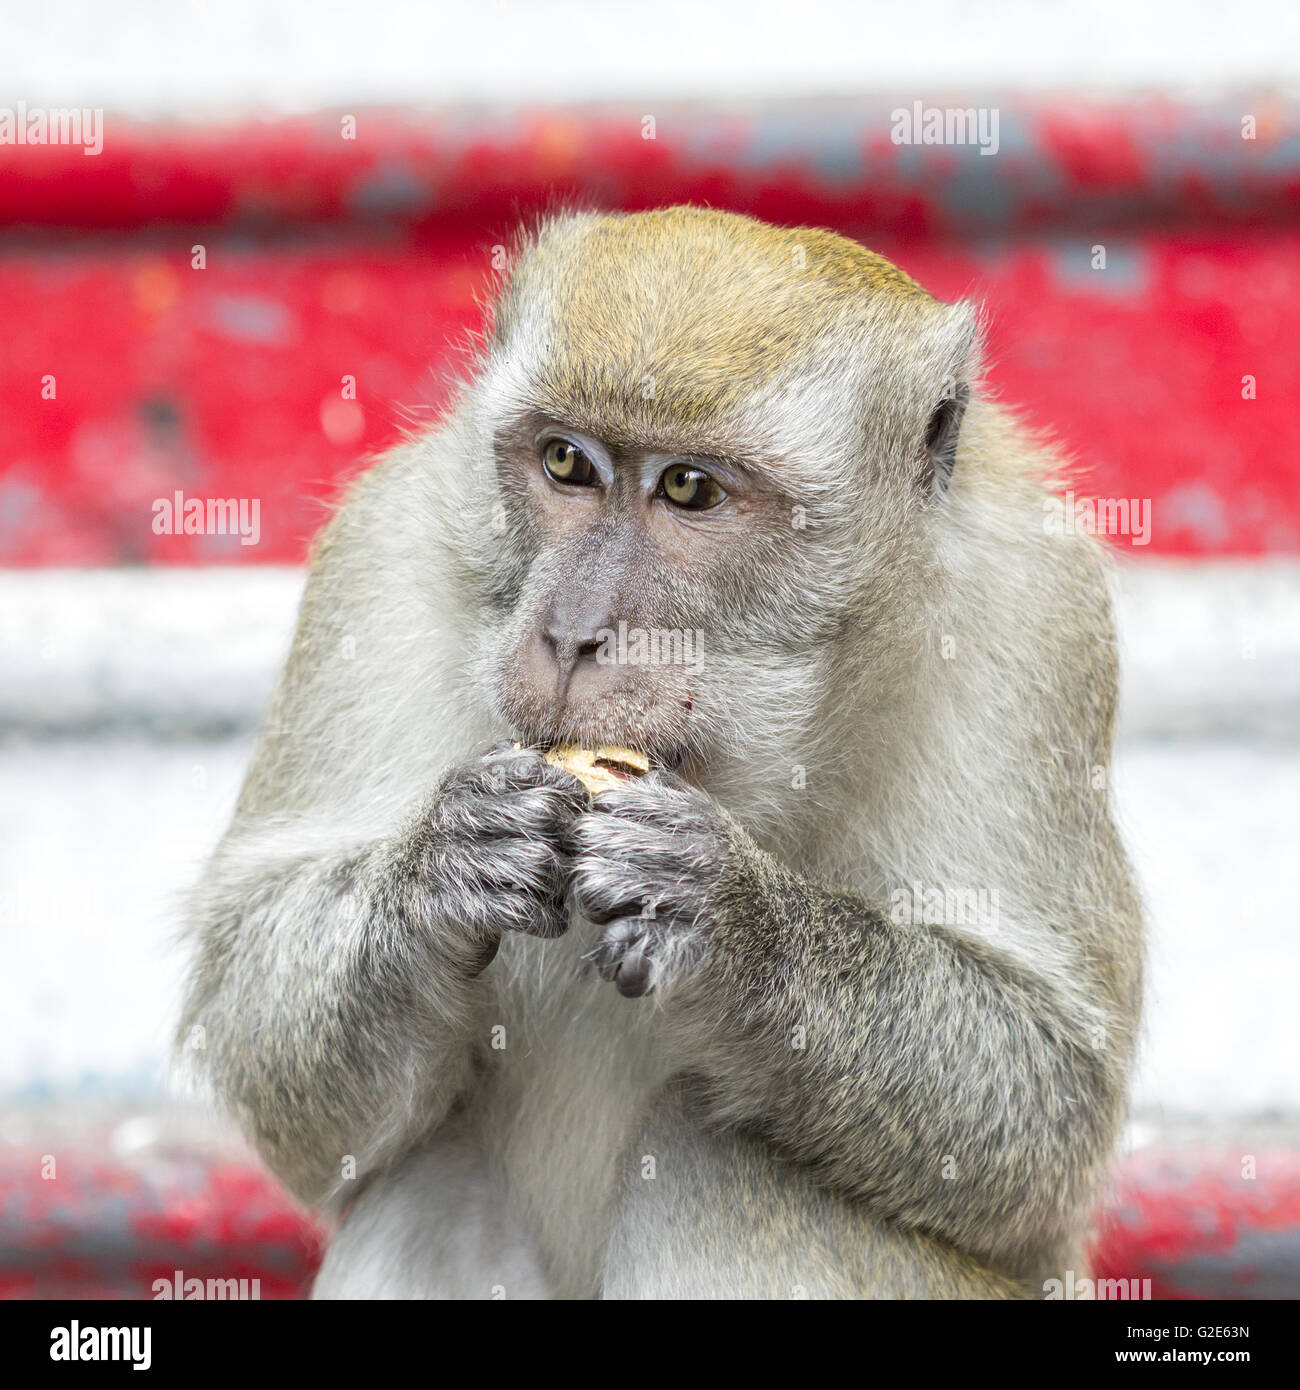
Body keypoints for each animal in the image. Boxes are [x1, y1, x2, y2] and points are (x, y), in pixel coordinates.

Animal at [177, 205, 1143, 1300]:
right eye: (565, 464)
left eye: (687, 487)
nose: (571, 634)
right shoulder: (384, 548)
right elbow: (258, 1004)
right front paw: (446, 868)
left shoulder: (1036, 608)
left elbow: (1050, 1094)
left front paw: (733, 920)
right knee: (431, 1178)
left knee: (708, 1151)